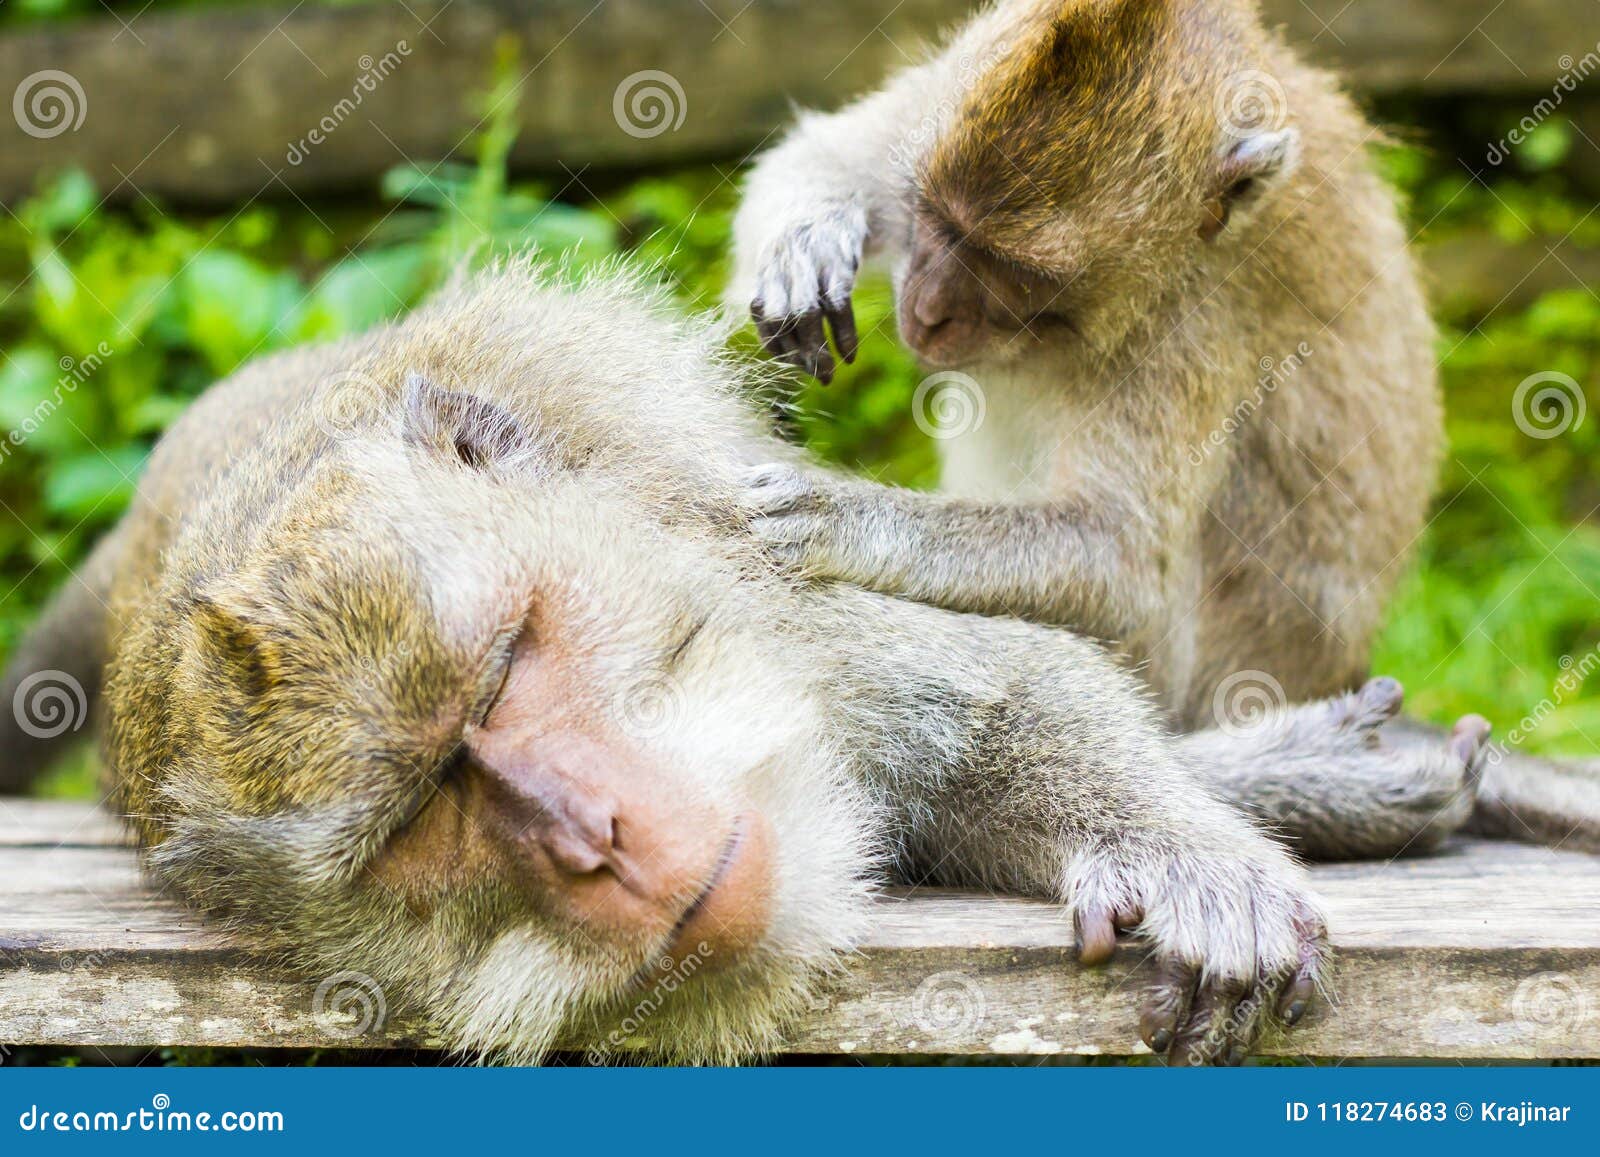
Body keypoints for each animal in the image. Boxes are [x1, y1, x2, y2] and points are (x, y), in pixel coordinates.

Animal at [0, 260, 1503, 1064]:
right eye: (425, 812)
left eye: (508, 664)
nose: (591, 837)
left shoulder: (764, 582)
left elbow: (1010, 695)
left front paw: (1192, 855)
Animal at [729, 0, 1600, 856]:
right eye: (935, 220)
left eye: (1013, 271)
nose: (927, 308)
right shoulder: (945, 96)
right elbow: (824, 150)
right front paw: (804, 243)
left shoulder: (1192, 327)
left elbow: (1118, 567)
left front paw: (843, 515)